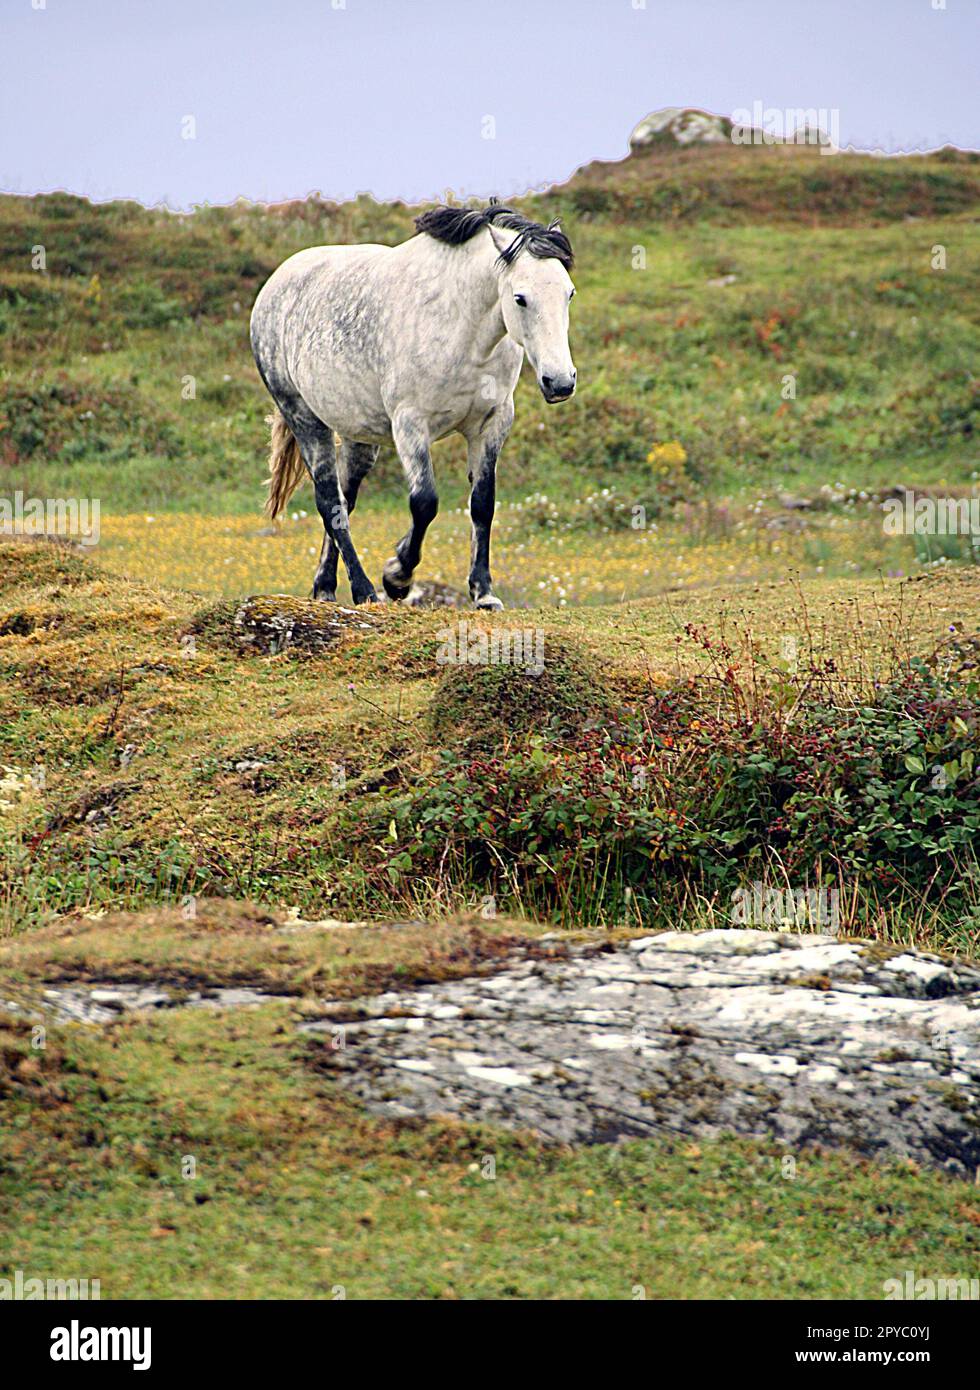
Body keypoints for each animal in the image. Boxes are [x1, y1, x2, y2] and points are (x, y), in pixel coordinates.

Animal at [249, 201, 577, 609]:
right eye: (520, 297)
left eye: (569, 293)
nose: (560, 382)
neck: (460, 328)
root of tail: (276, 284)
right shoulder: (410, 424)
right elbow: (425, 502)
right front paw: (397, 577)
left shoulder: (492, 422)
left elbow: (483, 503)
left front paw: (484, 593)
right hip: (305, 418)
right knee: (329, 501)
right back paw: (364, 590)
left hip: (358, 436)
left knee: (344, 501)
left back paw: (324, 588)